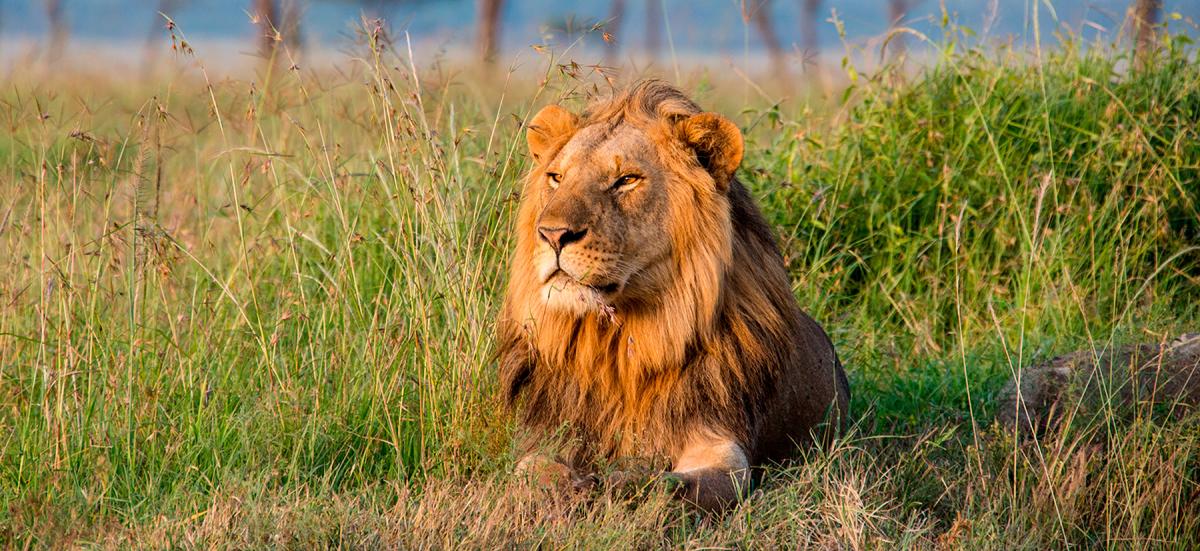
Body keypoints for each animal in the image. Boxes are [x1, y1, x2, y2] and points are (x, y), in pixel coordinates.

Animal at [495, 81, 851, 511]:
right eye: (556, 177)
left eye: (627, 180)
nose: (551, 234)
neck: (620, 345)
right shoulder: (547, 436)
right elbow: (531, 474)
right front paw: (568, 492)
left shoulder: (722, 447)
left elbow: (670, 486)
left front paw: (618, 485)